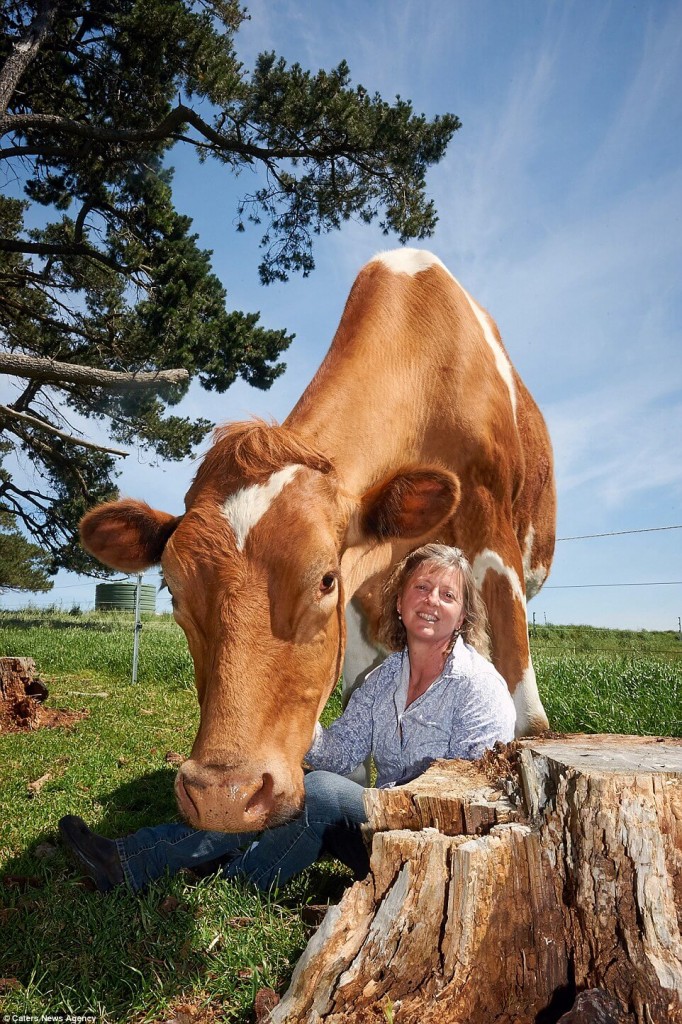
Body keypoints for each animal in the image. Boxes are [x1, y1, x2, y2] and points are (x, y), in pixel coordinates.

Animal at [80, 248, 556, 834]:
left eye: (325, 578)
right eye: (172, 590)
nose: (222, 796)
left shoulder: (494, 540)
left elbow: (526, 720)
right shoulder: (359, 613)